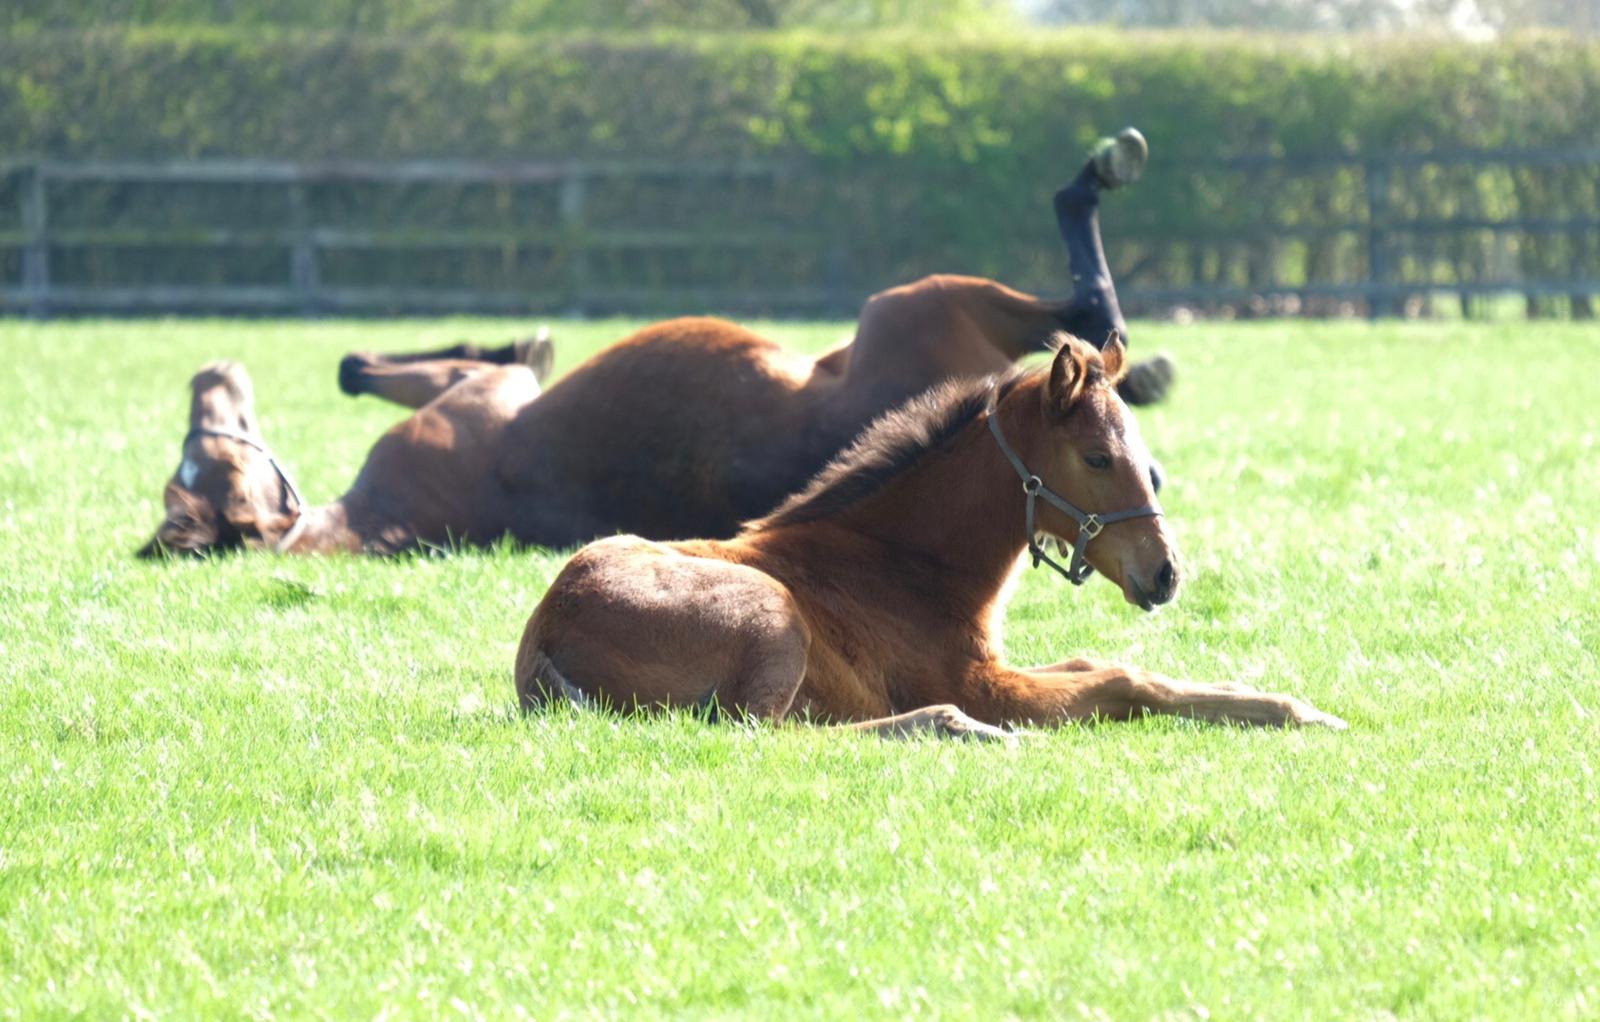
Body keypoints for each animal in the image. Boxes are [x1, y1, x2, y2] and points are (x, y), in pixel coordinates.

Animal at [140, 130, 1173, 557]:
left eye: (209, 448)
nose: (212, 371)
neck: (374, 517)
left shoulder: (473, 396)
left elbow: (369, 364)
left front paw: (519, 337)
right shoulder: (475, 406)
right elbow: (389, 367)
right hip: (924, 301)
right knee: (1088, 309)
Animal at [514, 334, 1346, 736]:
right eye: (1097, 457)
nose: (1166, 572)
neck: (904, 561)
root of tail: (545, 637)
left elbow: (1113, 664)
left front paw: (1290, 705)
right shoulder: (986, 684)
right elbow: (1121, 680)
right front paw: (1302, 713)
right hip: (769, 616)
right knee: (763, 733)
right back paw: (959, 729)